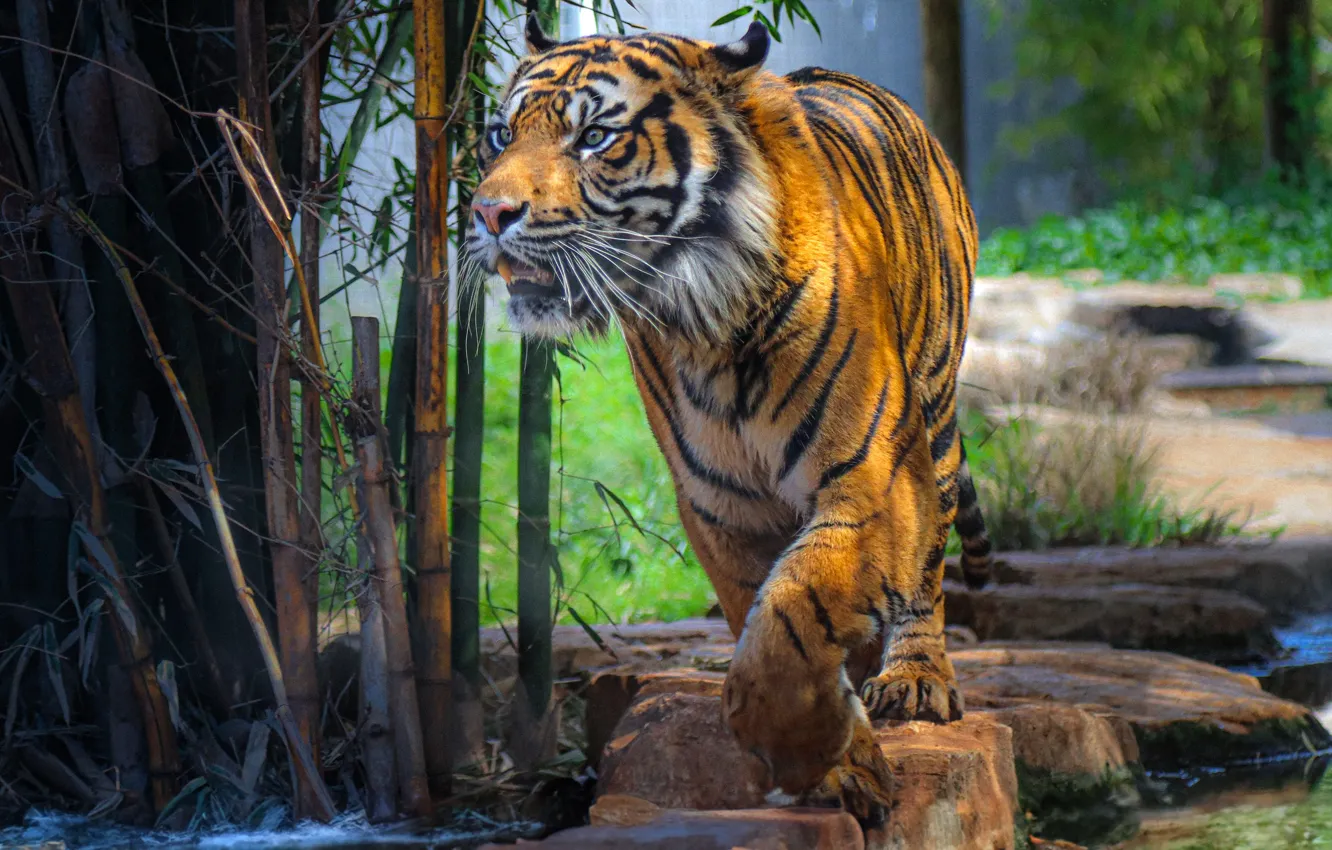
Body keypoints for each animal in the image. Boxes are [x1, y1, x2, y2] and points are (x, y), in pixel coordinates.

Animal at [464, 15, 995, 824]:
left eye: (594, 137)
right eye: (500, 135)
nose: (489, 214)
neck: (704, 321)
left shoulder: (869, 478)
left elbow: (792, 615)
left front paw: (804, 748)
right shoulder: (721, 503)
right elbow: (770, 612)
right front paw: (837, 761)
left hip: (930, 414)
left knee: (927, 566)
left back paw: (915, 678)